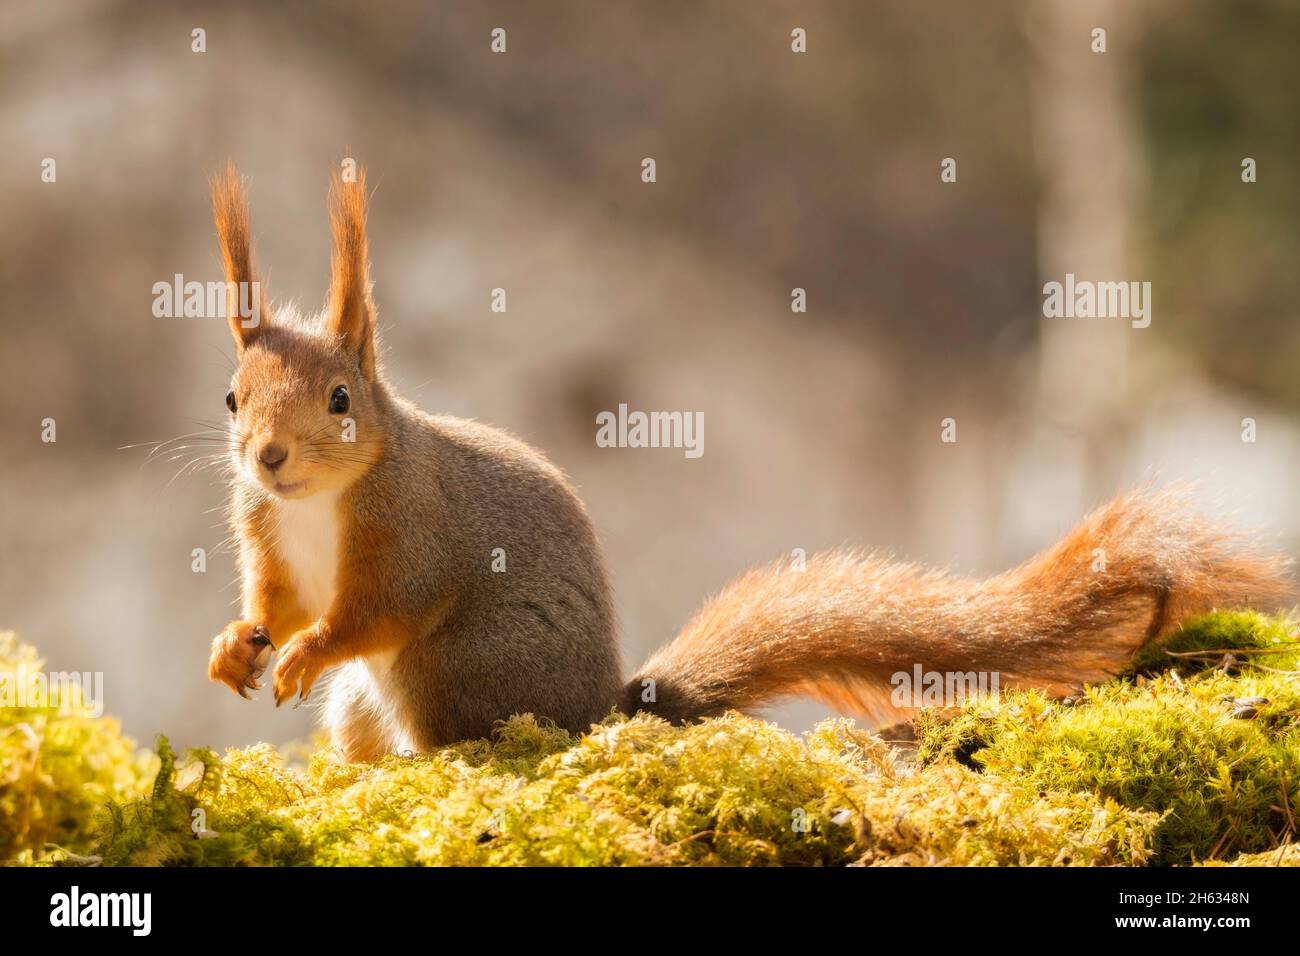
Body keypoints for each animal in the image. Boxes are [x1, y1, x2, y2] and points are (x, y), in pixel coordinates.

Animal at [206, 163, 1293, 761]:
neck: (320, 500)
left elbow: (371, 610)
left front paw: (299, 651)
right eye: (230, 398)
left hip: (456, 667)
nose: (267, 457)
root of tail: (600, 707)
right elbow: (277, 599)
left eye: (341, 401)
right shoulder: (263, 530)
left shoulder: (414, 532)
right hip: (366, 703)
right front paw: (238, 645)